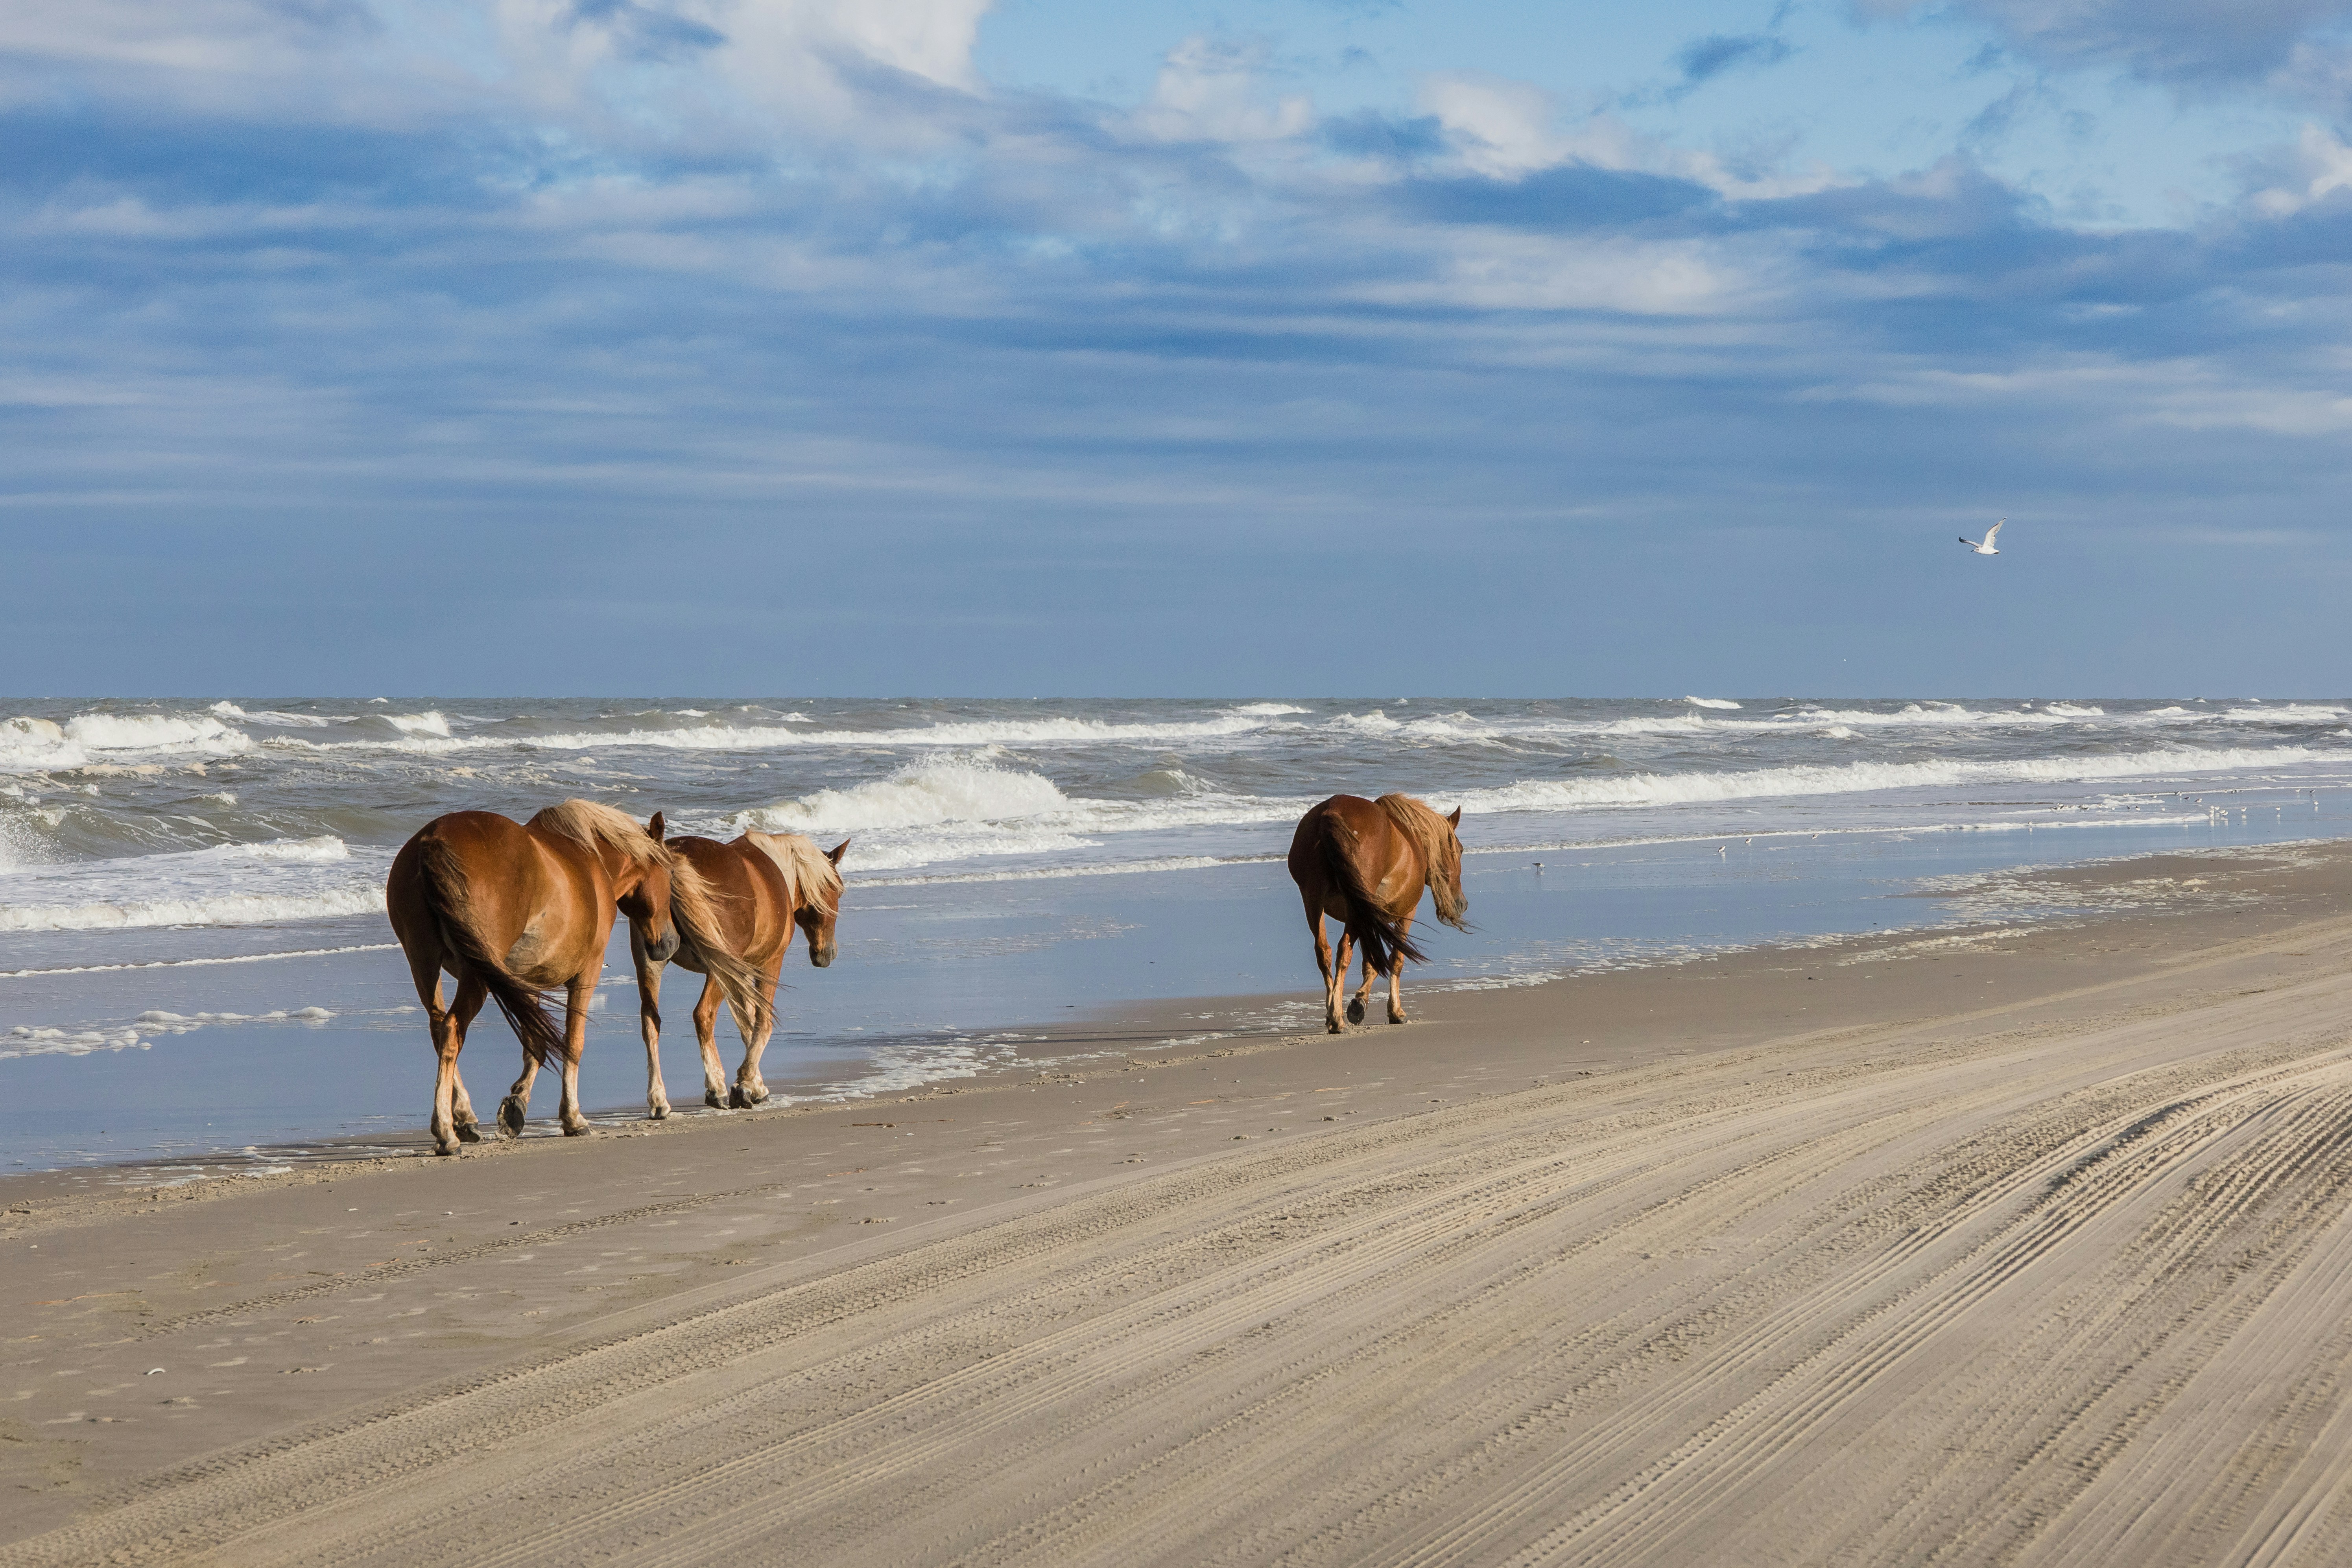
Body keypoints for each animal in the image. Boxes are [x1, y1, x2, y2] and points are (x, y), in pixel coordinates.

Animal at [381, 804, 757, 1161]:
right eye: (668, 874)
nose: (668, 943)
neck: (594, 863)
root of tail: (433, 840)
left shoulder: (522, 979)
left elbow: (535, 1043)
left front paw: (516, 1107)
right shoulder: (586, 973)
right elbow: (572, 1041)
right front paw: (572, 1119)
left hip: (425, 965)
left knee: (438, 1029)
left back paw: (464, 1117)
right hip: (476, 976)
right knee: (451, 1032)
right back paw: (447, 1132)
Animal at [640, 832, 851, 1114]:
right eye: (838, 890)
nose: (828, 953)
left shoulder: (739, 971)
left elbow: (746, 1023)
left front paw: (755, 1086)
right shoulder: (768, 963)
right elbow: (761, 1023)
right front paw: (745, 1085)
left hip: (651, 963)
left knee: (650, 1022)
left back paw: (659, 1100)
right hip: (716, 968)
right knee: (703, 1015)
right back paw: (716, 1088)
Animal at [1298, 790, 1458, 1034]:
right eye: (1460, 850)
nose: (1461, 902)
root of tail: (1331, 811)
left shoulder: (1369, 918)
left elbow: (1370, 962)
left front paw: (1359, 1003)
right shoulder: (1404, 914)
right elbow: (1393, 960)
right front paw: (1393, 1011)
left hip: (1314, 901)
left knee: (1323, 951)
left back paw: (1331, 1013)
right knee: (1344, 951)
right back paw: (1337, 1019)